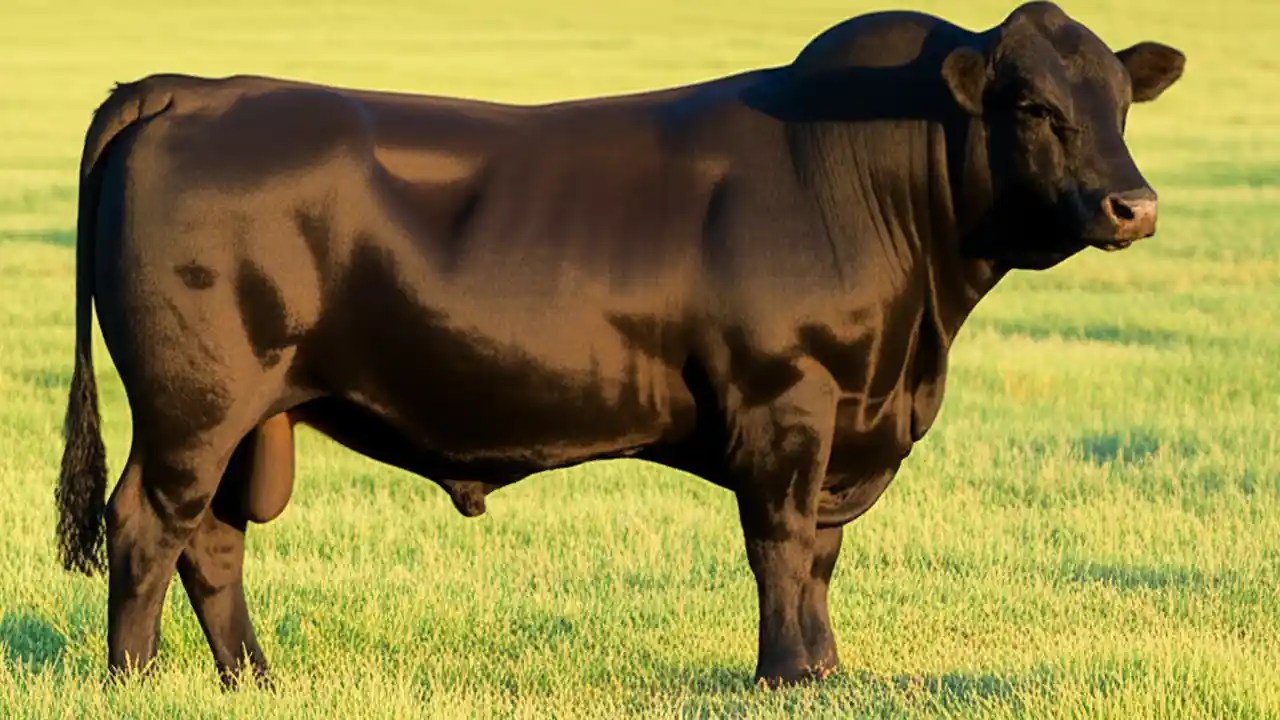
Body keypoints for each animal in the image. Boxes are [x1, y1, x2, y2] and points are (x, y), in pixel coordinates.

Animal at [55, 1, 1183, 687]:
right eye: (1031, 105)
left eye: (1121, 104)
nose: (1134, 206)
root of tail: (192, 86)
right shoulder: (789, 401)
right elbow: (781, 546)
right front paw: (785, 675)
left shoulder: (845, 418)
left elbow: (822, 557)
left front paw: (822, 672)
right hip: (193, 401)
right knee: (149, 525)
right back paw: (135, 681)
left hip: (246, 410)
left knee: (213, 540)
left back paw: (253, 679)